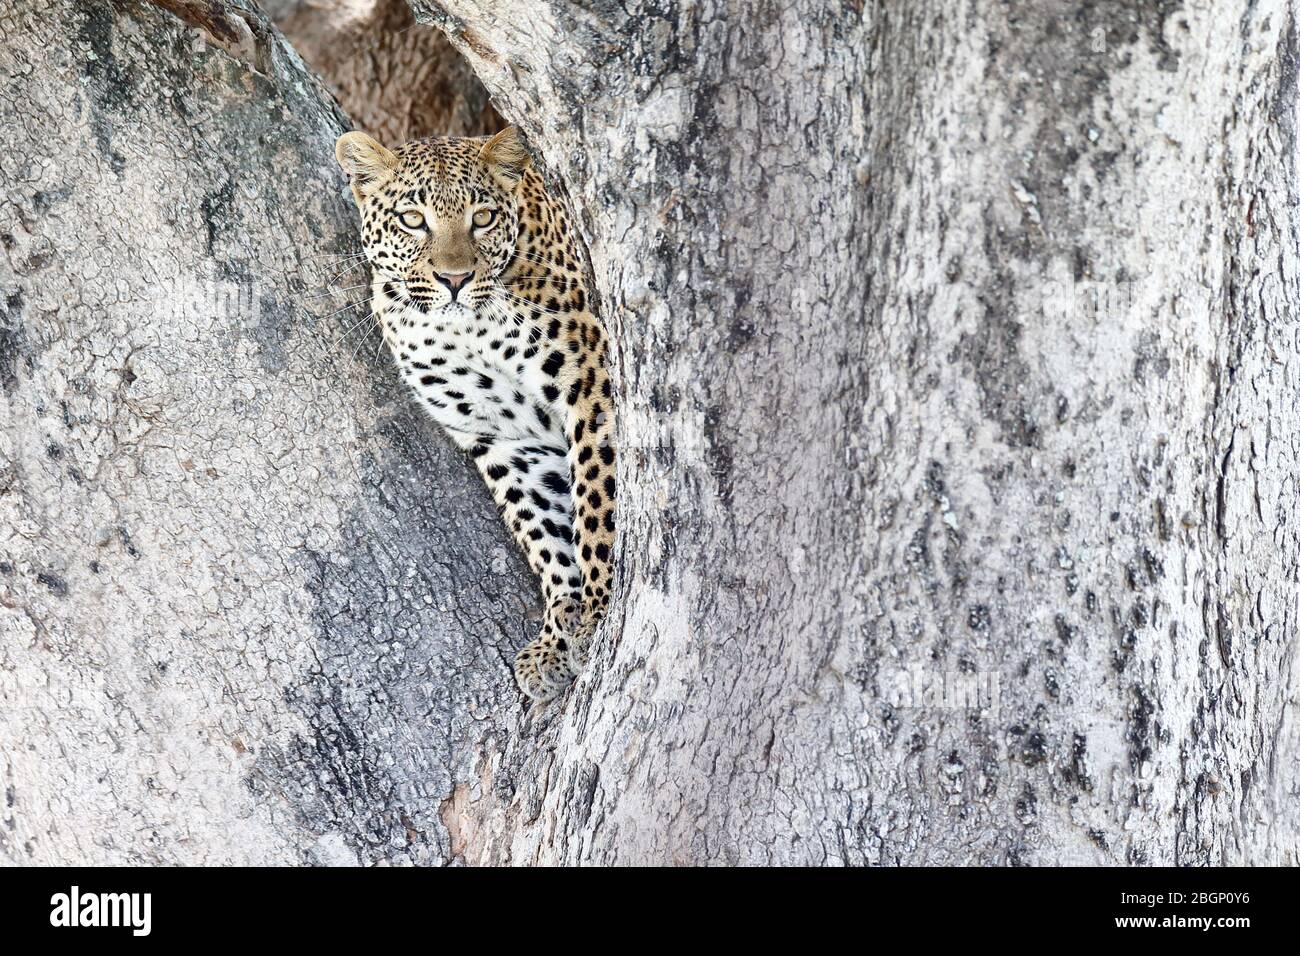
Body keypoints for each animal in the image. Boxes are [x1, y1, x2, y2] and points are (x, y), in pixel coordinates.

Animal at [334, 127, 615, 702]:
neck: (465, 328)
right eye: (412, 219)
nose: (455, 280)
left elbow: (593, 502)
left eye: (482, 217)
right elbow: (544, 531)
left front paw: (598, 609)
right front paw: (560, 629)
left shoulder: (589, 381)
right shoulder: (501, 437)